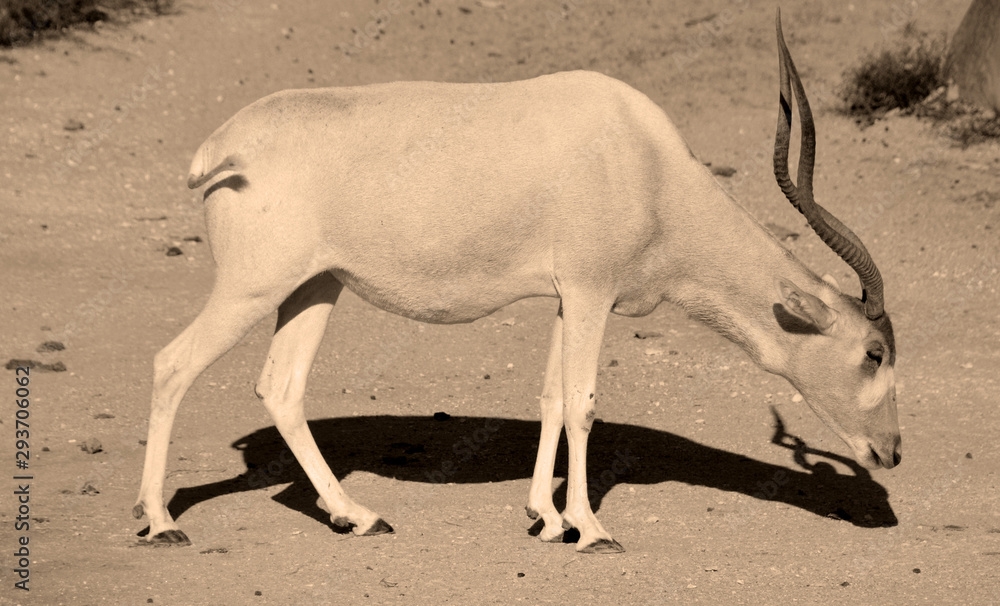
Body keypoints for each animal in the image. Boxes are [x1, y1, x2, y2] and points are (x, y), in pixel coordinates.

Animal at [134, 11, 899, 554]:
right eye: (874, 354)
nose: (891, 451)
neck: (644, 161)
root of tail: (225, 146)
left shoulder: (568, 297)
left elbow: (552, 398)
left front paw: (547, 518)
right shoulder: (591, 292)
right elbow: (584, 404)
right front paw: (592, 530)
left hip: (315, 286)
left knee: (281, 388)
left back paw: (358, 516)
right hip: (252, 289)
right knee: (172, 363)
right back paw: (161, 522)